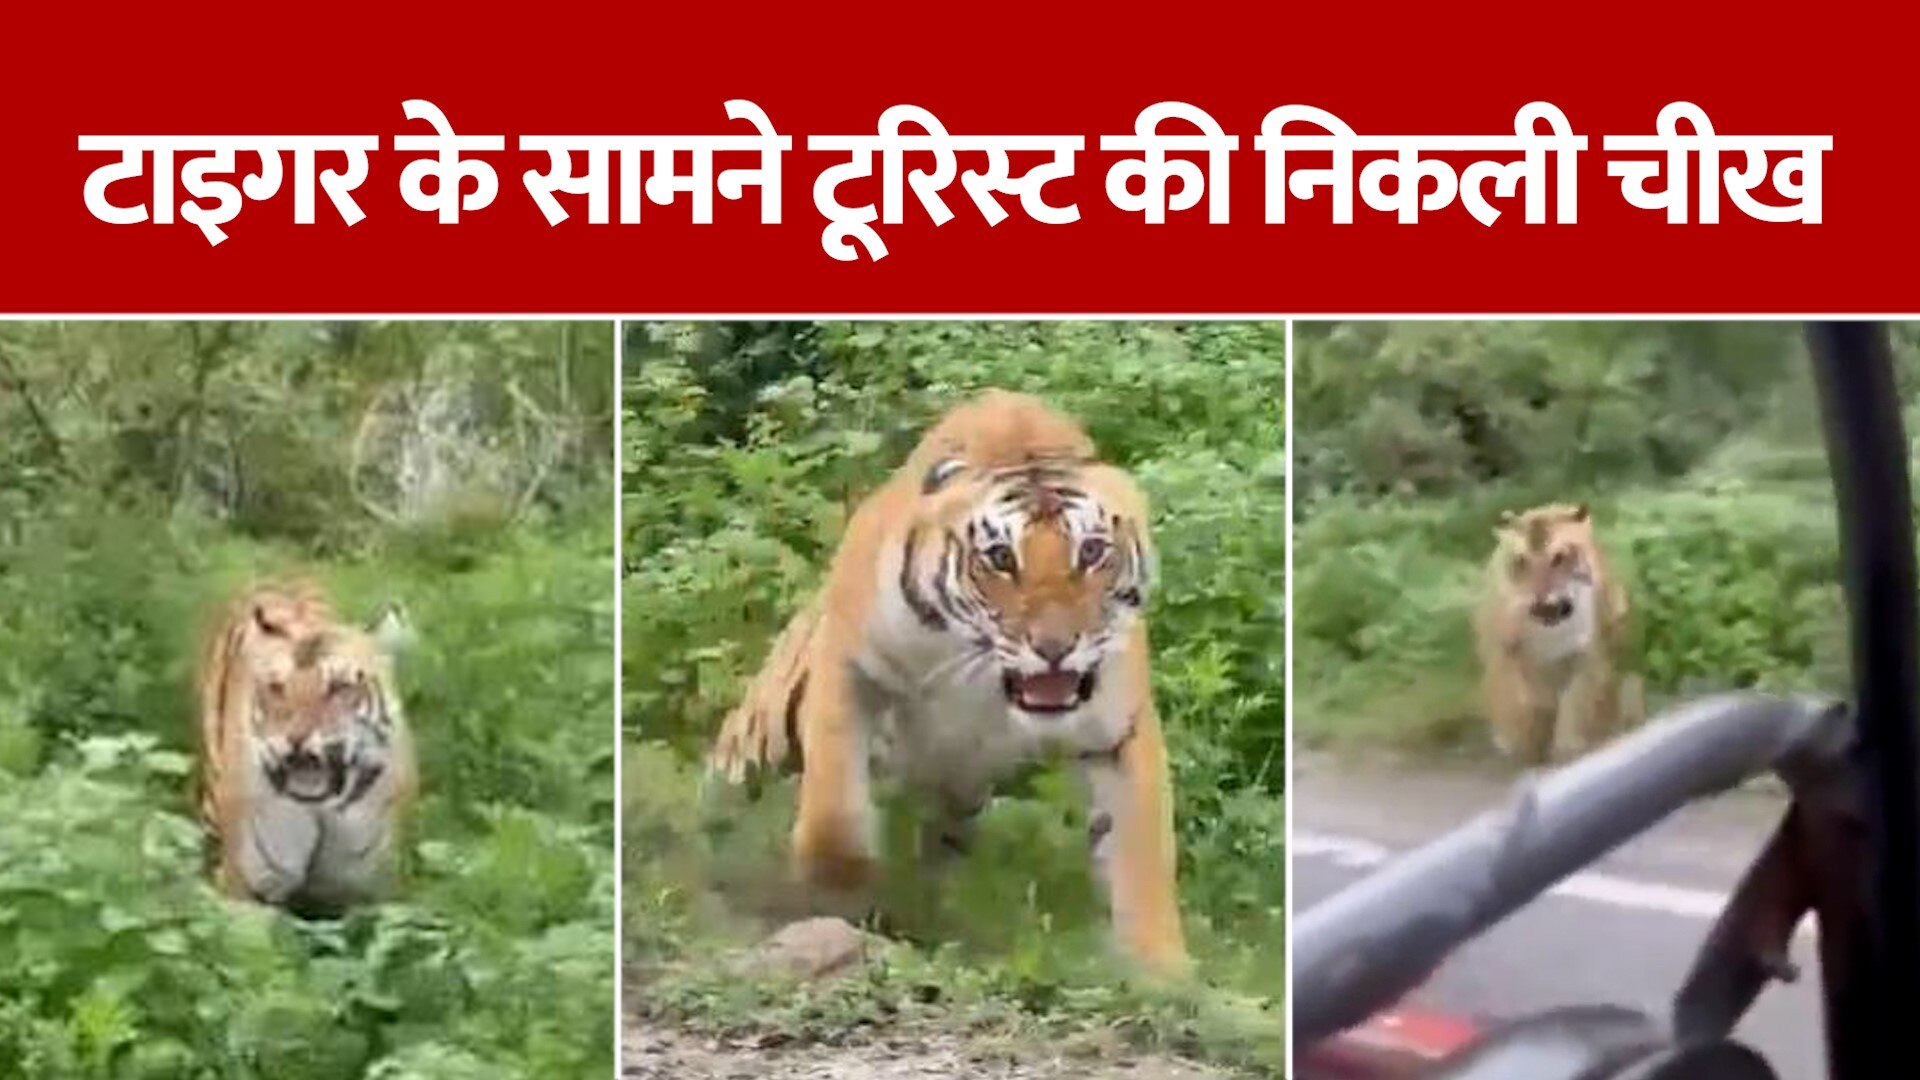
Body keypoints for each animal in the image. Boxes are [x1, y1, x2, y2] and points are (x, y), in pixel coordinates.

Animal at [195, 581, 418, 915]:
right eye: (277, 688)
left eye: (339, 686)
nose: (295, 738)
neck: (320, 810)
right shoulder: (247, 888)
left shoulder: (366, 891)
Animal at [709, 389, 1189, 976]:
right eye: (1001, 558)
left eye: (1092, 551)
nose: (1053, 648)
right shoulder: (849, 668)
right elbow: (832, 815)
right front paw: (844, 887)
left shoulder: (1118, 727)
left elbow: (1140, 854)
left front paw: (1162, 971)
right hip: (762, 731)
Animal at [1474, 502, 1642, 766]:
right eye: (1521, 561)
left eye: (1559, 557)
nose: (1543, 605)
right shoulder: (1505, 652)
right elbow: (1520, 702)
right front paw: (1523, 745)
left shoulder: (1588, 657)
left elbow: (1573, 703)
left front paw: (1567, 748)